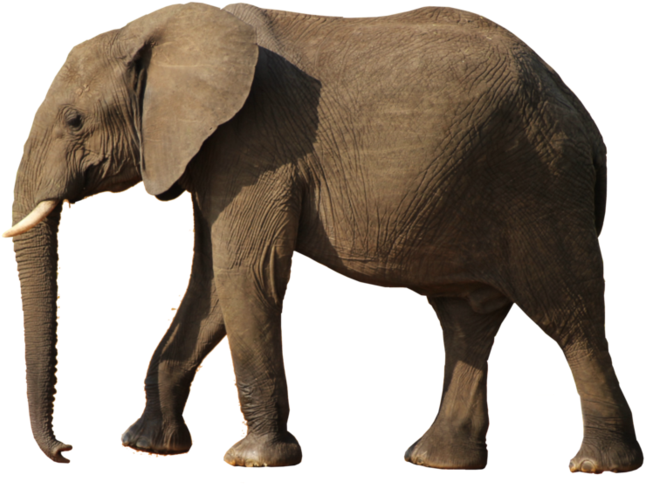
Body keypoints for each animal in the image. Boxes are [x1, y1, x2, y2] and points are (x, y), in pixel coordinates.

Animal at [4, 2, 643, 472]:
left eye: (74, 122)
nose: (67, 451)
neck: (159, 32)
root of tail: (585, 121)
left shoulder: (257, 144)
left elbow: (244, 273)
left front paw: (253, 460)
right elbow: (209, 285)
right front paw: (146, 446)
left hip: (540, 181)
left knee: (569, 315)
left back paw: (598, 466)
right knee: (468, 316)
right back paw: (435, 461)